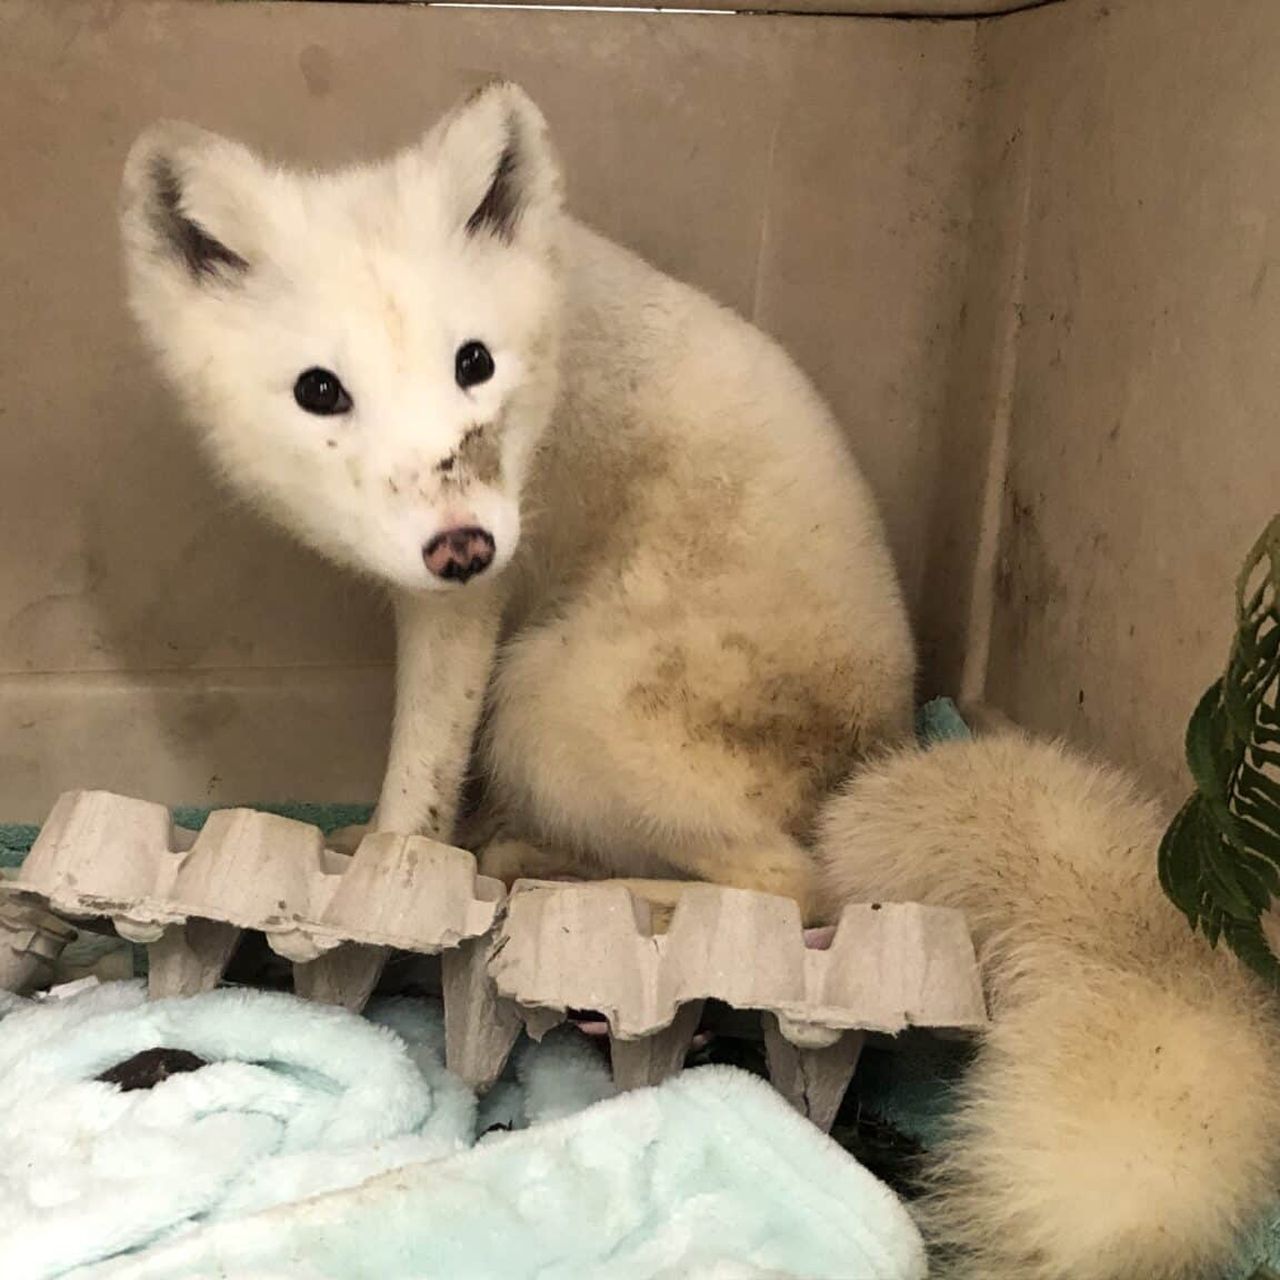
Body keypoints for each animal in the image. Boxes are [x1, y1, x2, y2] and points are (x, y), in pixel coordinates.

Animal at [118, 82, 915, 921]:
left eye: (475, 362)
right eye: (320, 391)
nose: (464, 547)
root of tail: (879, 742)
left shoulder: (464, 609)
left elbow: (419, 778)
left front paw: (383, 872)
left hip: (545, 701)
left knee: (798, 887)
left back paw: (557, 879)